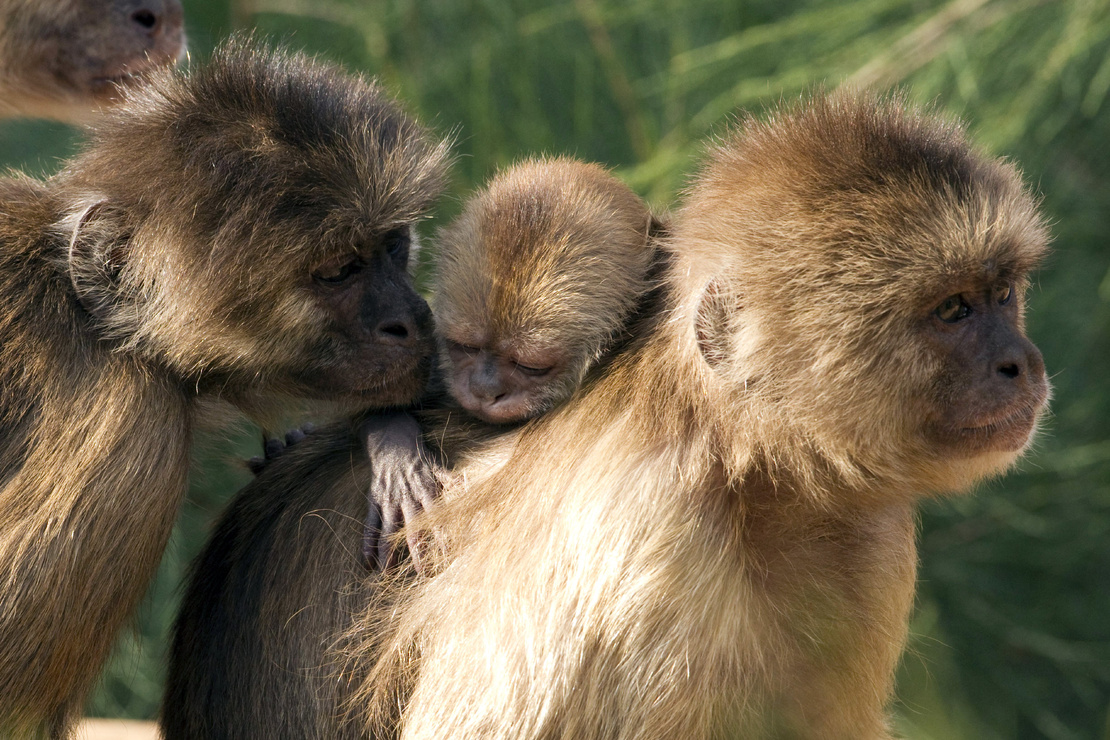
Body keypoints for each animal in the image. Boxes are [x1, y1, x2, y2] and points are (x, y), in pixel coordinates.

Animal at [162, 91, 1049, 739]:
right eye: (954, 311)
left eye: (1002, 295)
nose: (1020, 362)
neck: (737, 465)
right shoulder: (634, 542)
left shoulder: (867, 537)